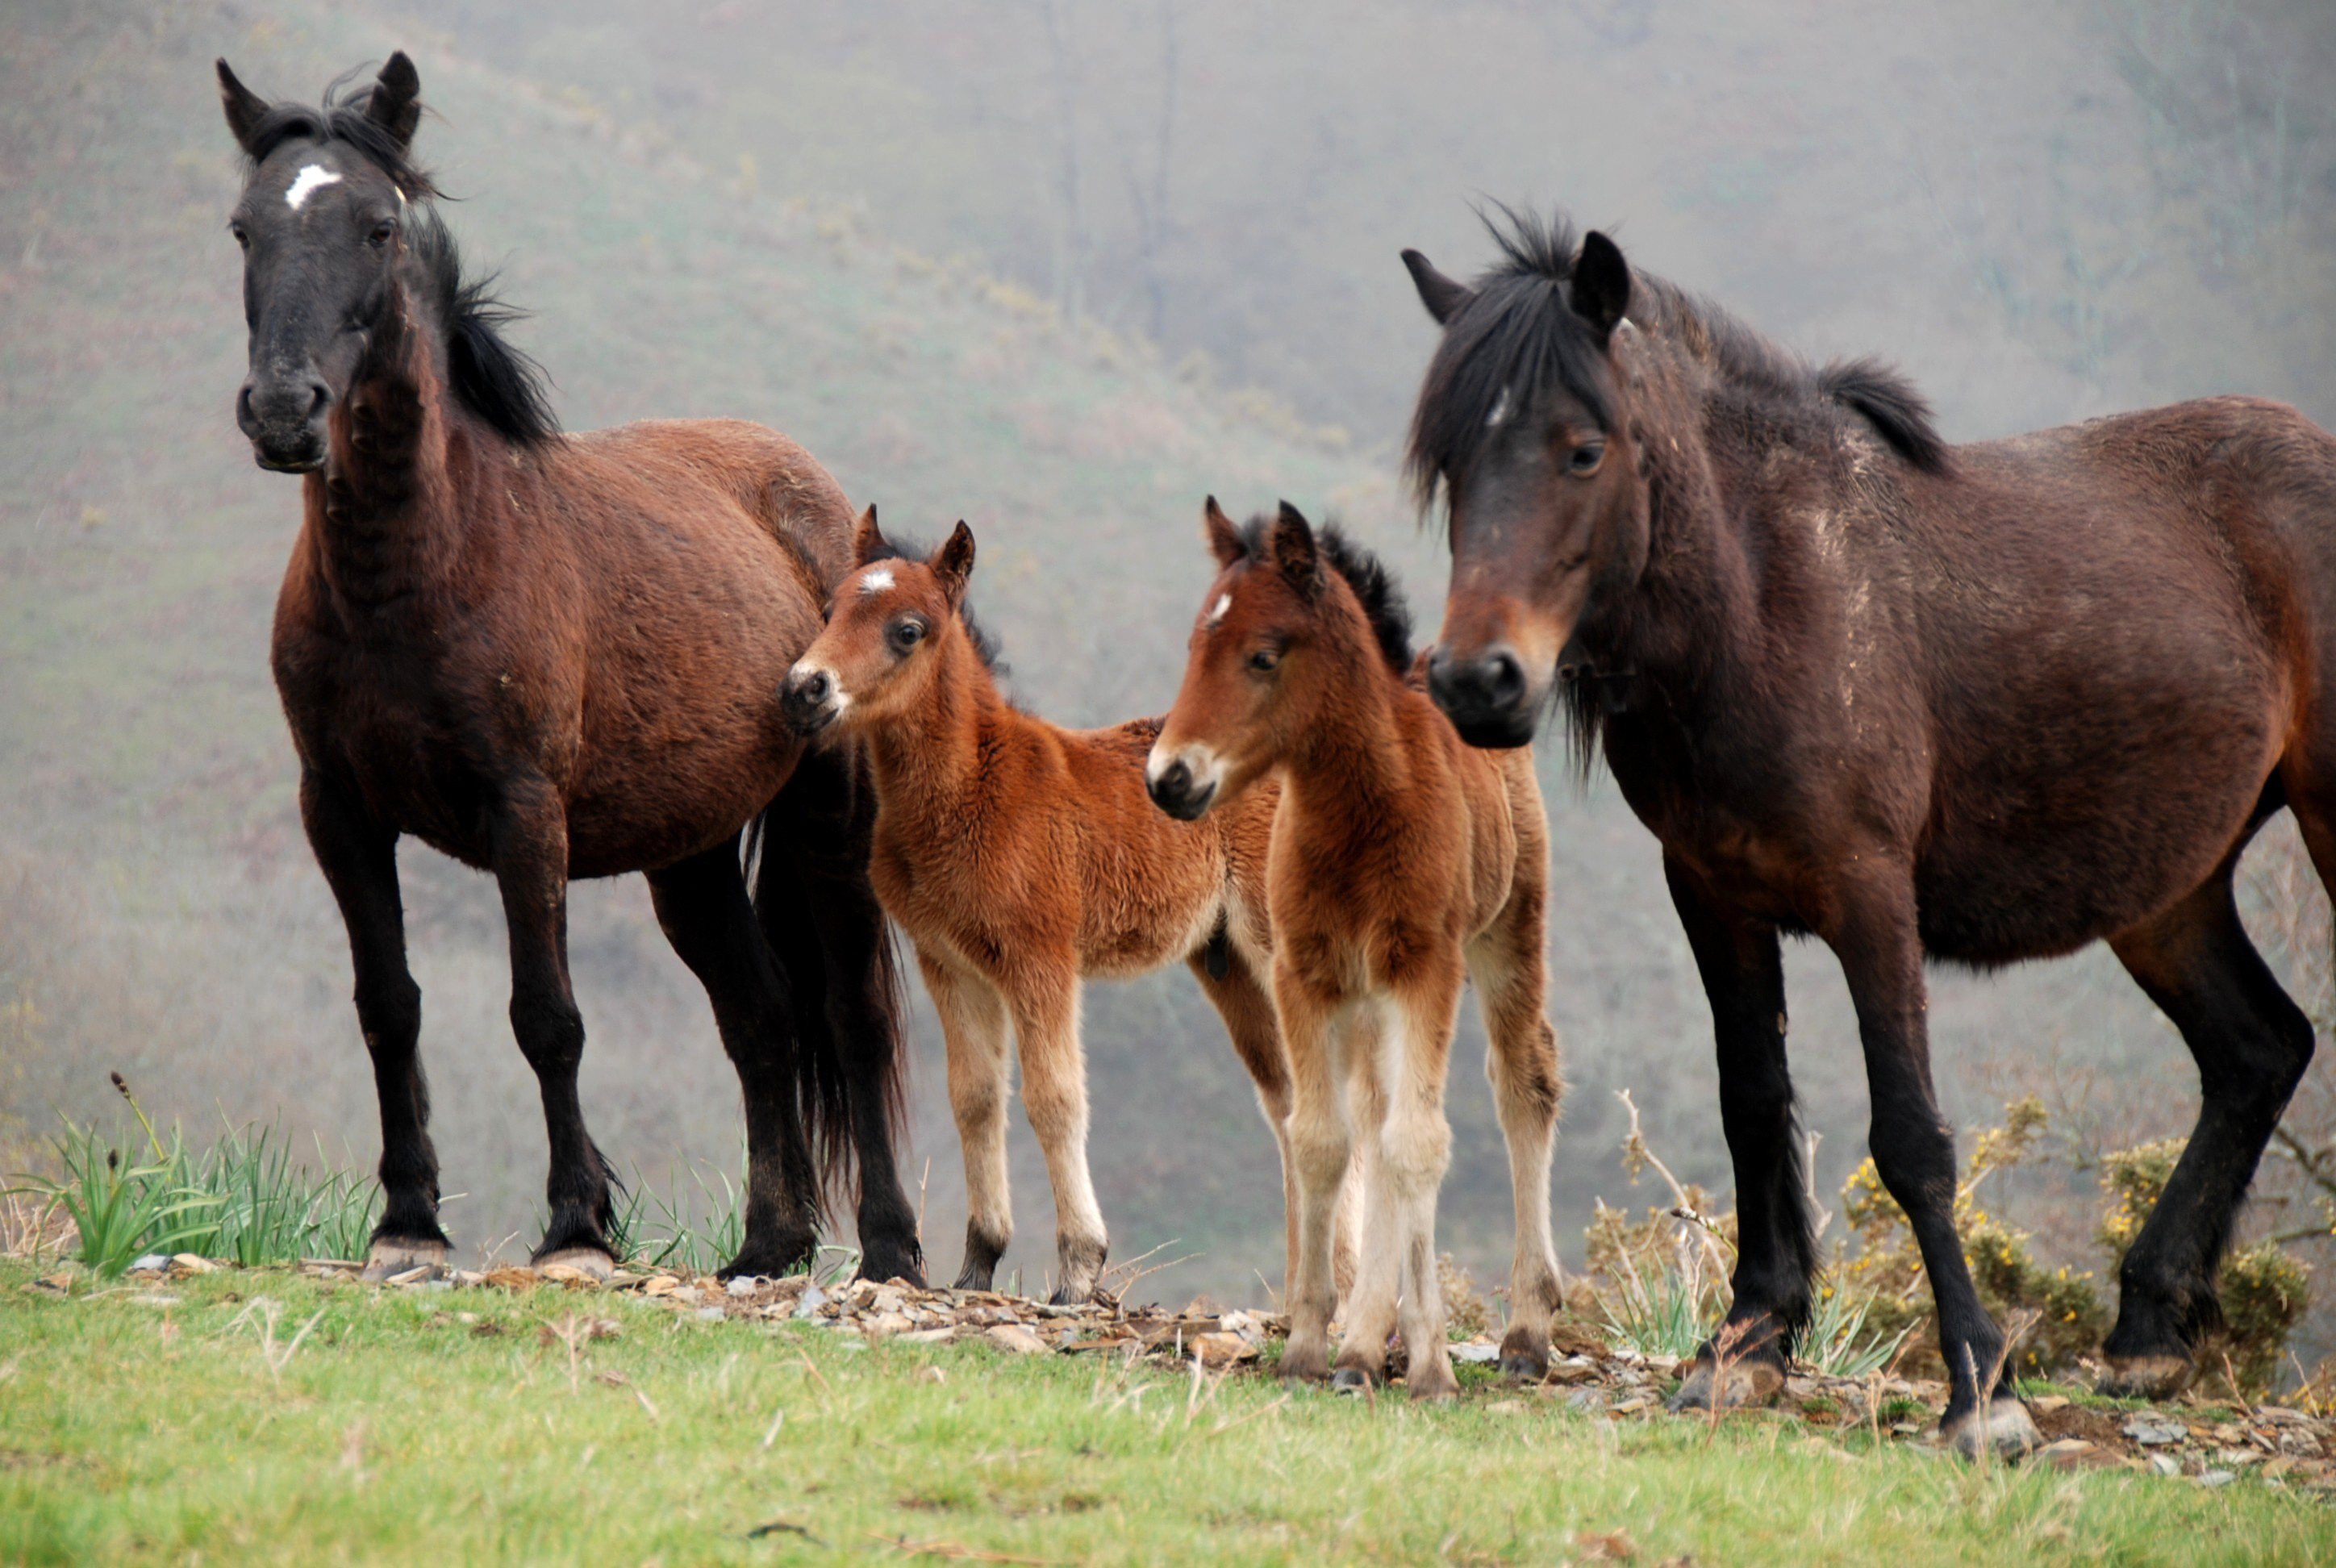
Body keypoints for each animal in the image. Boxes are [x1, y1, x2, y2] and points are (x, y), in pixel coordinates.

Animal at [215, 53, 922, 1286]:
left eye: (378, 226)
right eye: (246, 227)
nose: (284, 410)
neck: (423, 572)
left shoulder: (524, 809)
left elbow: (545, 1015)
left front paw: (578, 1225)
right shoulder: (337, 809)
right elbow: (387, 1003)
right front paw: (409, 1219)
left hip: (826, 823)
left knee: (849, 1017)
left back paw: (886, 1248)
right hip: (688, 857)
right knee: (763, 1018)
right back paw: (769, 1243)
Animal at [776, 511, 1353, 1304]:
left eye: (908, 629)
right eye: (830, 610)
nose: (805, 689)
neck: (972, 790)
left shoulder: (1039, 956)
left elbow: (1054, 1100)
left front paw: (1079, 1270)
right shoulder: (949, 963)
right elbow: (975, 1097)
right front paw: (978, 1263)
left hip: (1273, 945)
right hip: (1227, 962)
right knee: (1288, 1101)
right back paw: (1308, 1286)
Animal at [1147, 500, 1566, 1394]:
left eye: (1263, 656)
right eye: (1195, 646)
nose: (1169, 779)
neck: (1358, 817)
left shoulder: (1425, 968)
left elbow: (1418, 1145)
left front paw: (1433, 1364)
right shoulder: (1302, 972)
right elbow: (1322, 1142)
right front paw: (1312, 1346)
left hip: (1508, 931)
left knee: (1524, 1083)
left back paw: (1523, 1333)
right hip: (1366, 997)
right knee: (1372, 1116)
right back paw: (1363, 1344)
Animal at [1401, 207, 2336, 1453]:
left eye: (1583, 449)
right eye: (1451, 462)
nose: (1476, 682)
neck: (1767, 600)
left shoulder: (1868, 893)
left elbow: (1911, 1137)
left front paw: (1983, 1391)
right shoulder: (1713, 892)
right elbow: (1754, 1106)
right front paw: (1748, 1346)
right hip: (2170, 891)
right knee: (2258, 1049)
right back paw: (2148, 1331)